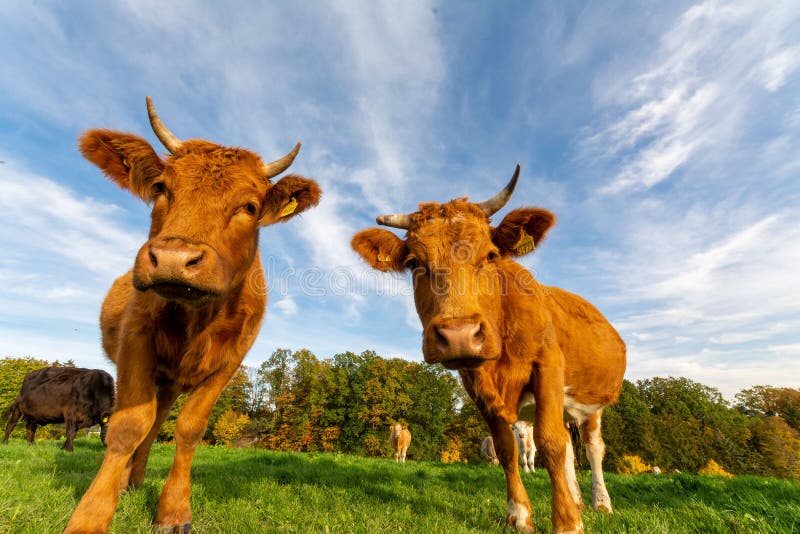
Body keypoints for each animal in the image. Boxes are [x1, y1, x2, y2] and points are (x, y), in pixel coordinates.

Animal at [63, 97, 321, 534]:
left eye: (250, 207)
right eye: (161, 188)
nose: (173, 259)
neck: (196, 320)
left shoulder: (229, 363)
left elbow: (189, 428)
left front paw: (173, 510)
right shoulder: (135, 343)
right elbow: (127, 426)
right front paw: (91, 516)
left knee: (157, 425)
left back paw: (134, 482)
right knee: (146, 423)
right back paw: (124, 483)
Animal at [351, 165, 626, 533]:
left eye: (491, 255)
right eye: (413, 263)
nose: (459, 335)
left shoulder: (548, 367)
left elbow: (550, 443)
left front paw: (567, 522)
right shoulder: (476, 387)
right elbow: (507, 449)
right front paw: (520, 515)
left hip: (592, 402)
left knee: (593, 448)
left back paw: (599, 503)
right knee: (569, 446)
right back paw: (578, 500)